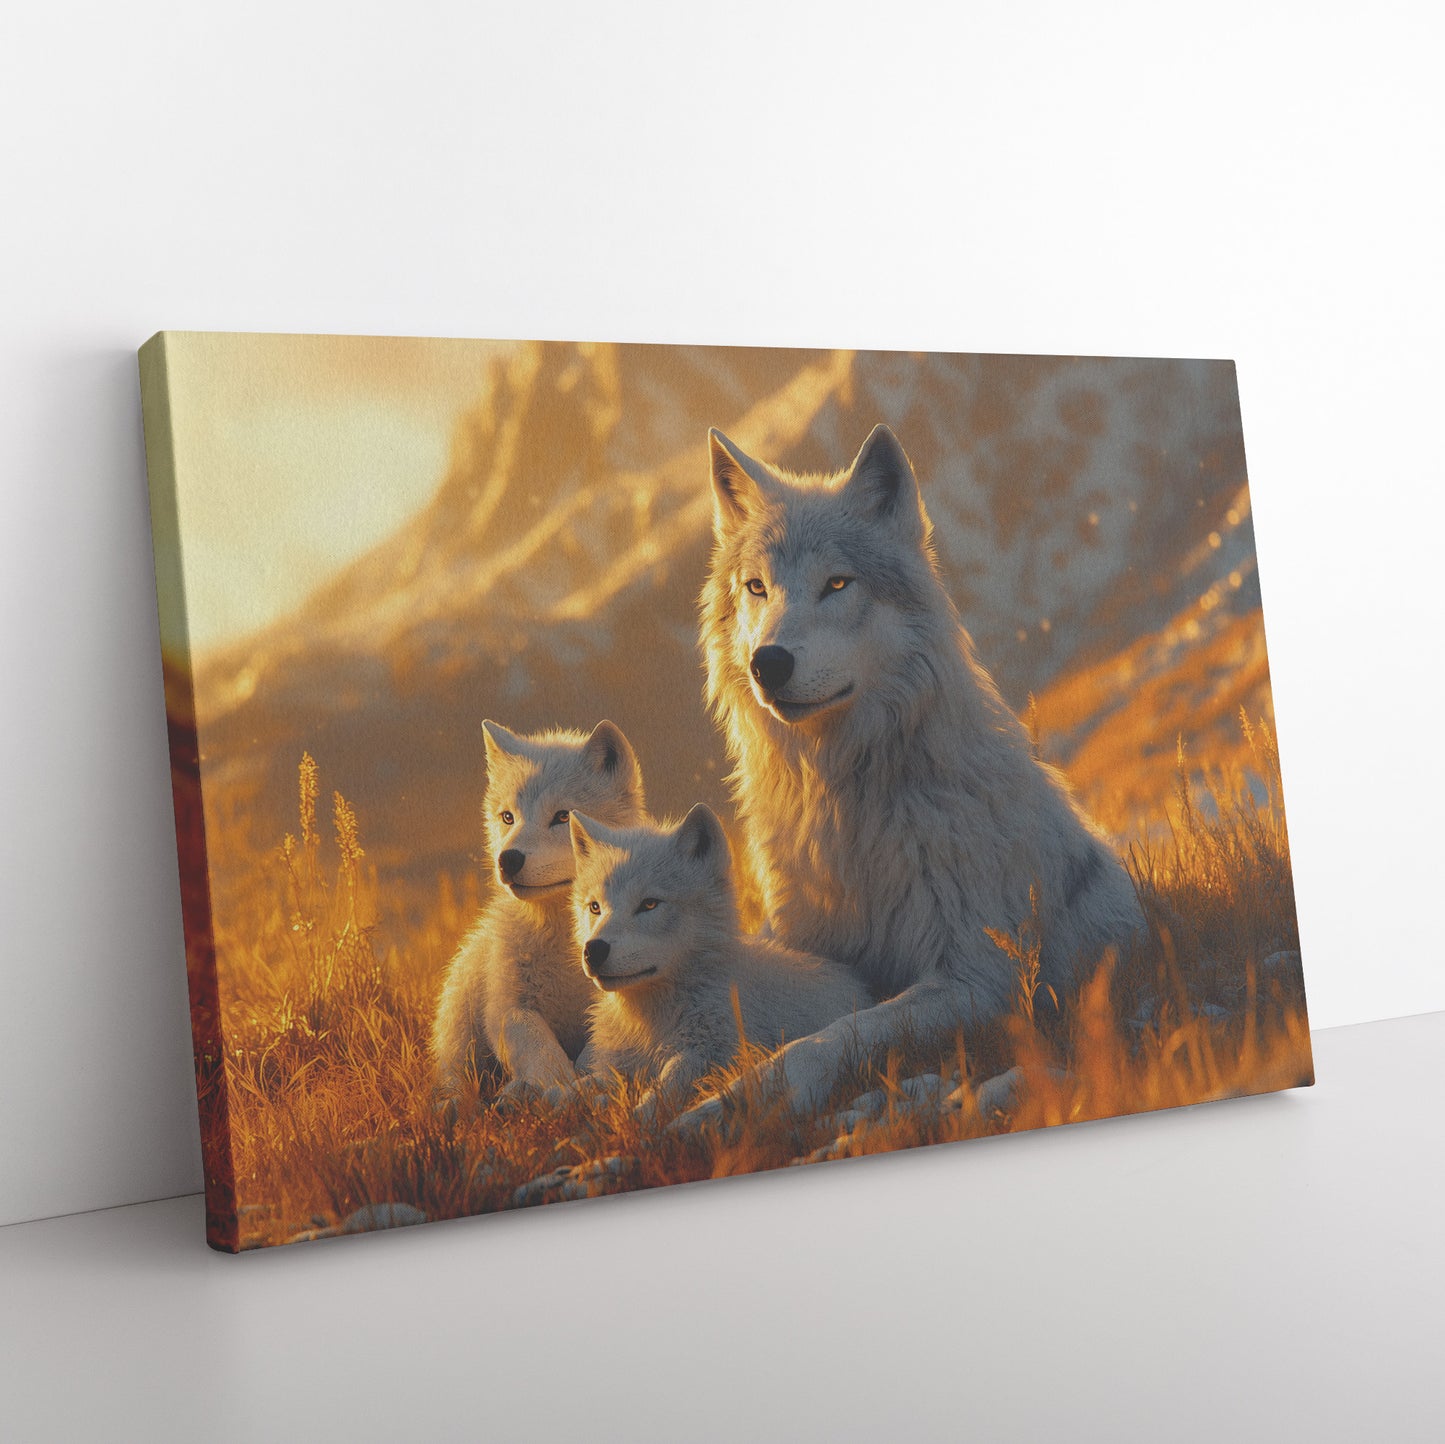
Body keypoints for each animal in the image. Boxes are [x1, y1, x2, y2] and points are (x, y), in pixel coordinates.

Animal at [431, 719, 647, 1104]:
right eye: (507, 817)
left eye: (562, 817)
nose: (508, 860)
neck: (565, 951)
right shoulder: (508, 1008)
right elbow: (539, 1048)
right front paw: (554, 1088)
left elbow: (592, 1049)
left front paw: (574, 1087)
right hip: (461, 1031)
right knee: (459, 1083)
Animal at [568, 804, 870, 1105]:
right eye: (595, 907)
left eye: (649, 904)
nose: (593, 950)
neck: (650, 1025)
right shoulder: (616, 1067)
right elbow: (571, 1089)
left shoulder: (708, 1052)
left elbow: (663, 1088)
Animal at [688, 423, 1144, 1114]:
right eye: (757, 587)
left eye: (838, 584)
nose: (769, 662)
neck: (845, 804)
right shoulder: (805, 948)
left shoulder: (978, 977)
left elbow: (830, 1036)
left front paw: (758, 1095)